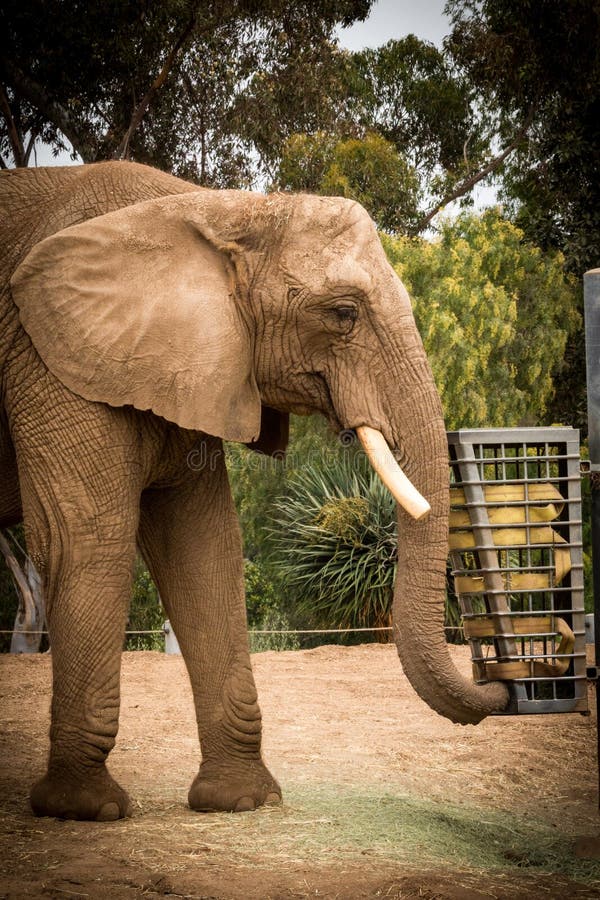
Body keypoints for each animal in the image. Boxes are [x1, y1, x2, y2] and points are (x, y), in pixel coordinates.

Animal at [0, 161, 509, 822]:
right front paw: (85, 809)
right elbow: (87, 541)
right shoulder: (46, 357)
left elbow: (203, 546)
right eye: (343, 313)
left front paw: (242, 800)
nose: (502, 676)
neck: (219, 208)